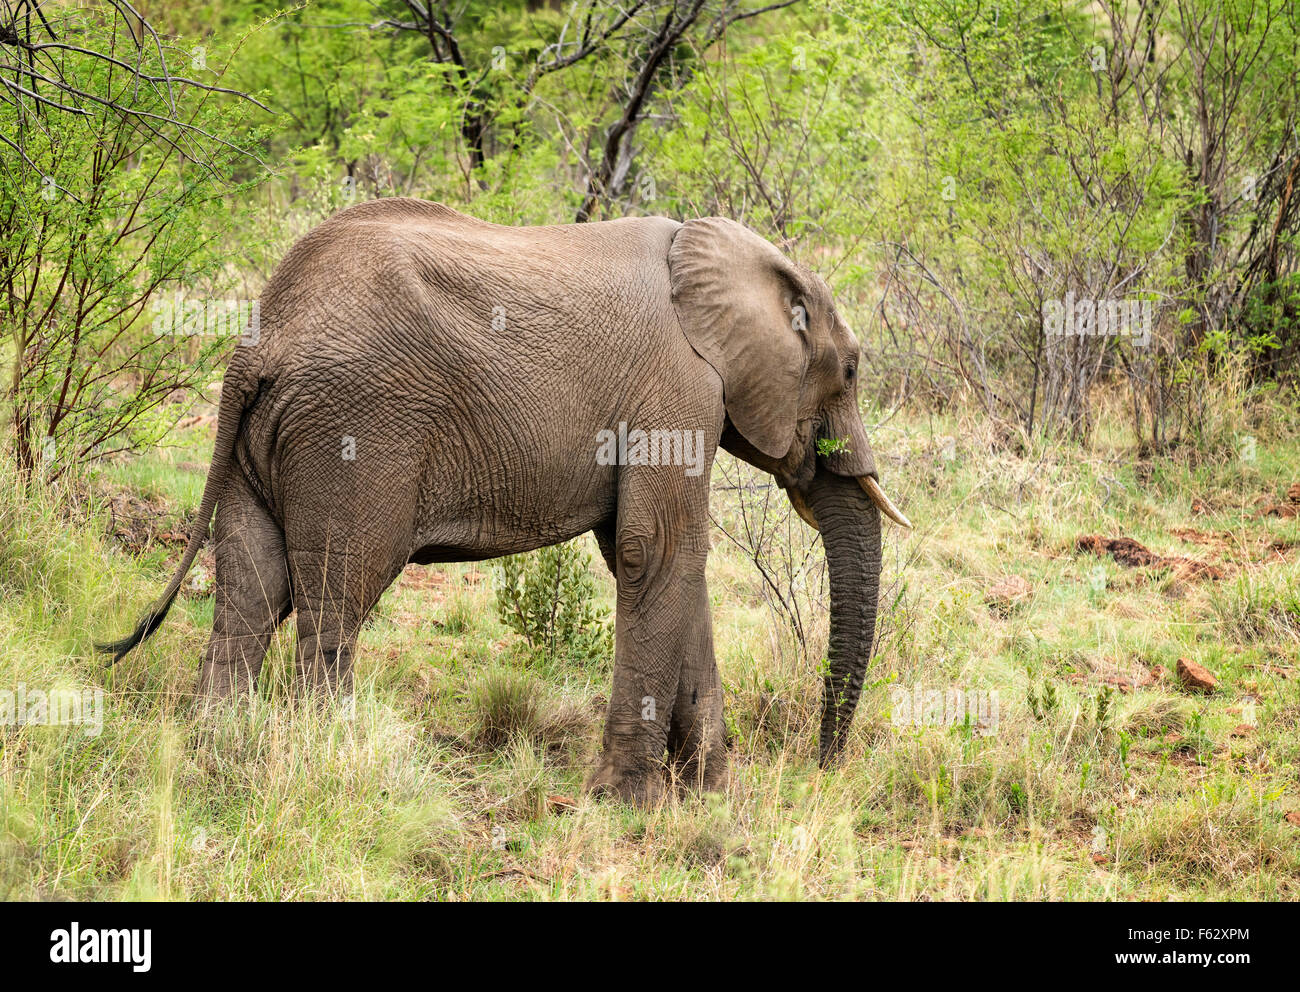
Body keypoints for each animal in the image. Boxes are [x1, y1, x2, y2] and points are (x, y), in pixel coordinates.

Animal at [100, 198, 911, 805]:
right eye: (850, 370)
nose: (821, 768)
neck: (719, 251)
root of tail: (257, 342)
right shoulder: (676, 392)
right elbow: (657, 553)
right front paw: (630, 805)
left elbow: (662, 562)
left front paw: (709, 794)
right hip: (354, 430)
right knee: (337, 596)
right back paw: (326, 759)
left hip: (258, 443)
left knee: (250, 588)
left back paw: (218, 754)